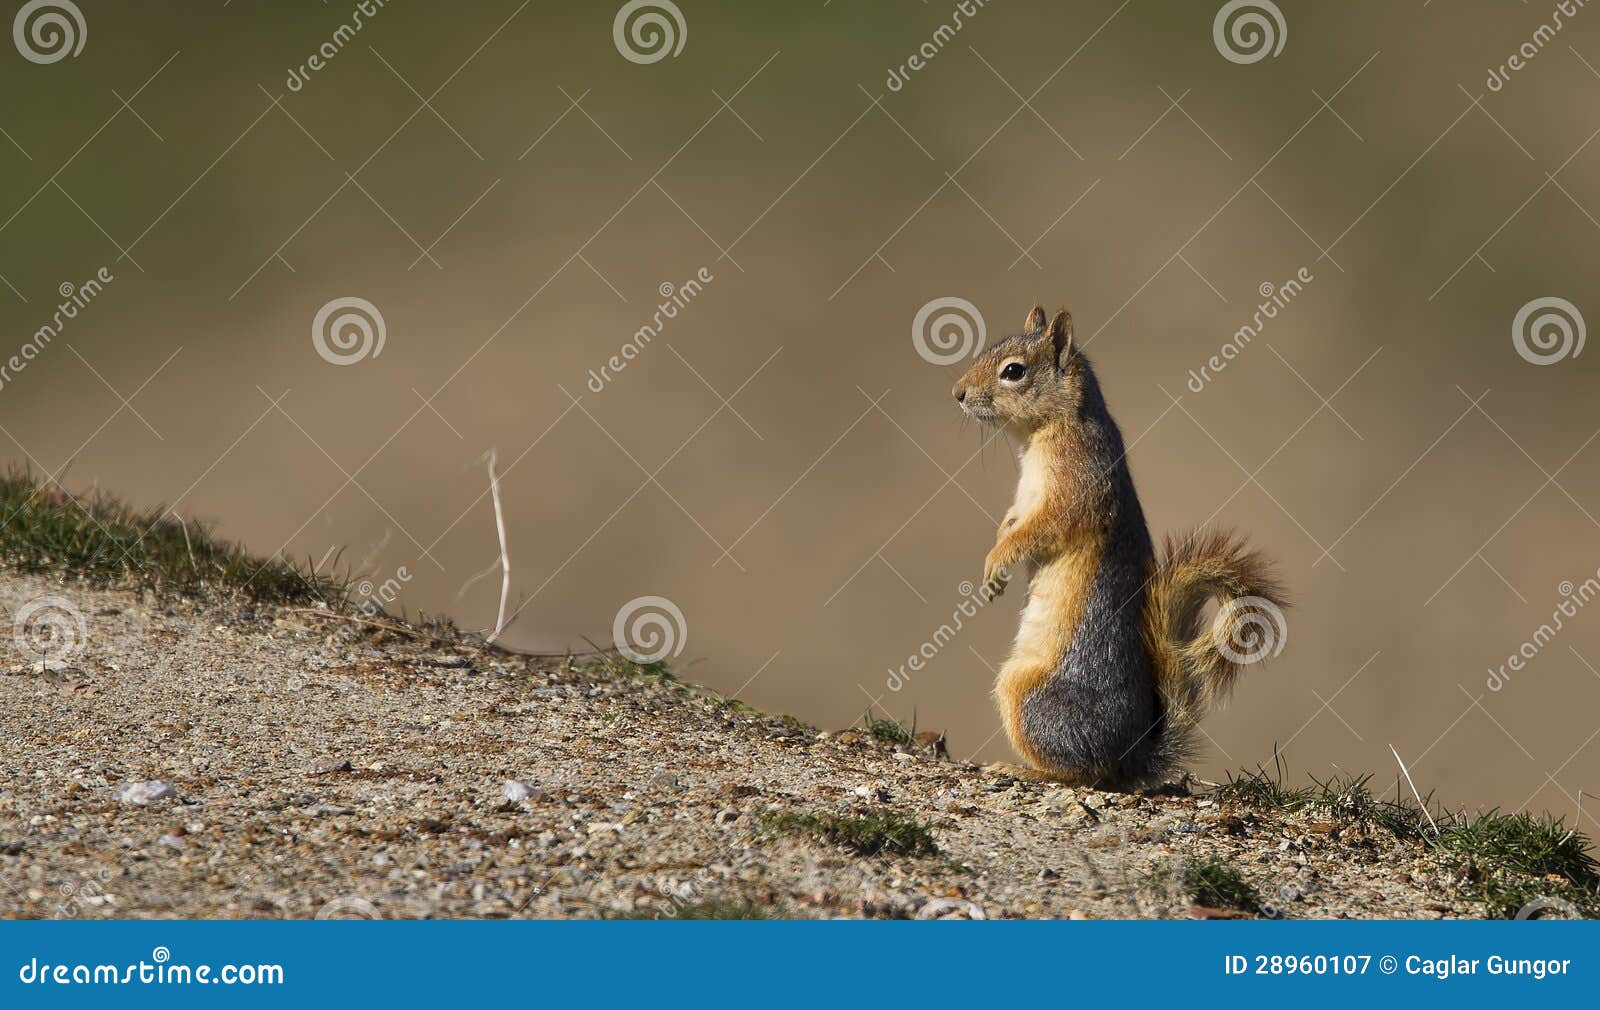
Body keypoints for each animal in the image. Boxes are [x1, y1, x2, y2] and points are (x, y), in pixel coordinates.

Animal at [952, 304, 1287, 788]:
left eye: (1013, 371)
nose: (957, 393)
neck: (1048, 430)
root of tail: (1131, 758)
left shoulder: (1073, 488)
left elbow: (1037, 531)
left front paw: (996, 562)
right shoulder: (1023, 500)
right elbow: (1012, 522)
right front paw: (994, 563)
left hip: (1024, 695)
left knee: (1078, 773)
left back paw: (1021, 768)